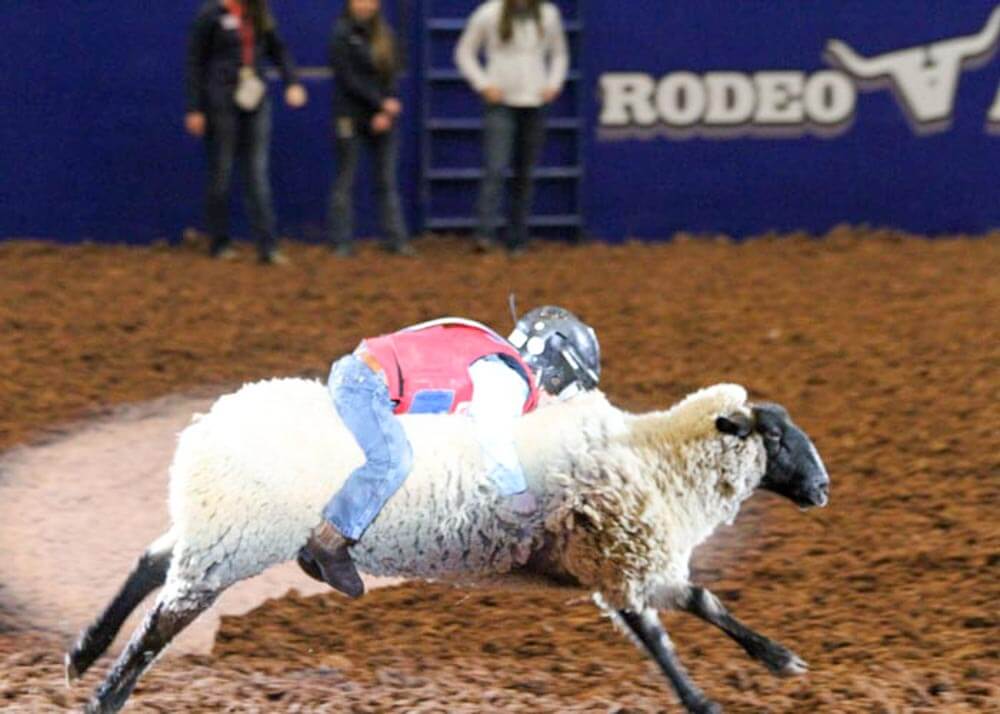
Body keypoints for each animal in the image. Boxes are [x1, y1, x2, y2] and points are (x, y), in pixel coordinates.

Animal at [66, 379, 829, 714]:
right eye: (776, 436)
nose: (823, 489)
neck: (654, 457)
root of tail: (203, 430)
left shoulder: (637, 565)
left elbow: (706, 602)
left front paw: (779, 659)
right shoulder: (623, 564)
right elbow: (663, 639)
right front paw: (702, 701)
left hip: (217, 526)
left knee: (151, 563)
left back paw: (84, 653)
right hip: (235, 535)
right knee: (162, 622)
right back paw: (107, 692)